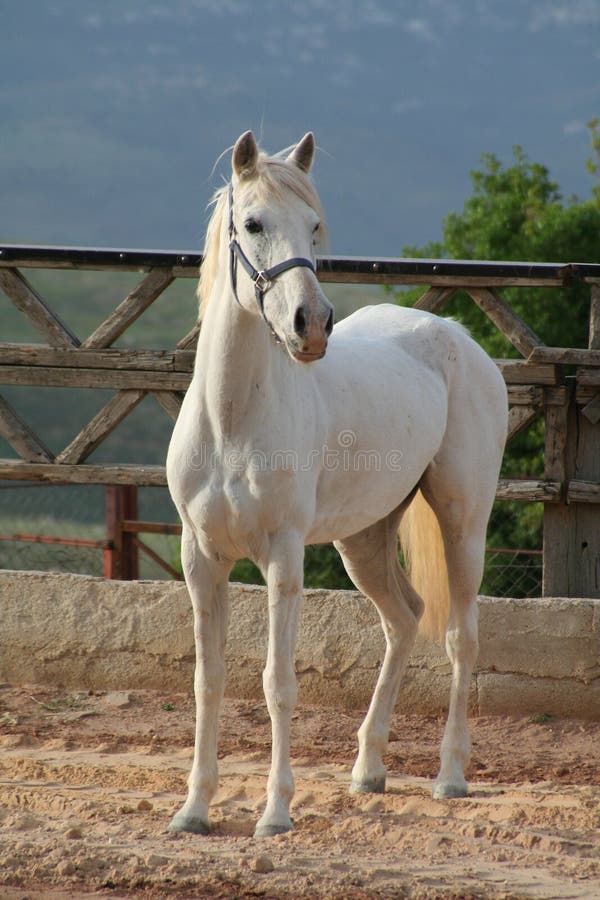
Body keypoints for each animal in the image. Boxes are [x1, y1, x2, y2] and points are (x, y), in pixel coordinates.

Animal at [166, 130, 508, 838]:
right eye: (252, 223)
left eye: (314, 226)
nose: (312, 324)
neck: (231, 421)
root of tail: (459, 339)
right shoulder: (200, 558)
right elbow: (209, 682)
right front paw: (194, 810)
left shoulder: (282, 557)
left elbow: (278, 683)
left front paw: (275, 814)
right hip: (365, 540)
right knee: (404, 621)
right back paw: (368, 769)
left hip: (462, 522)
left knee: (460, 636)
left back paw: (449, 775)